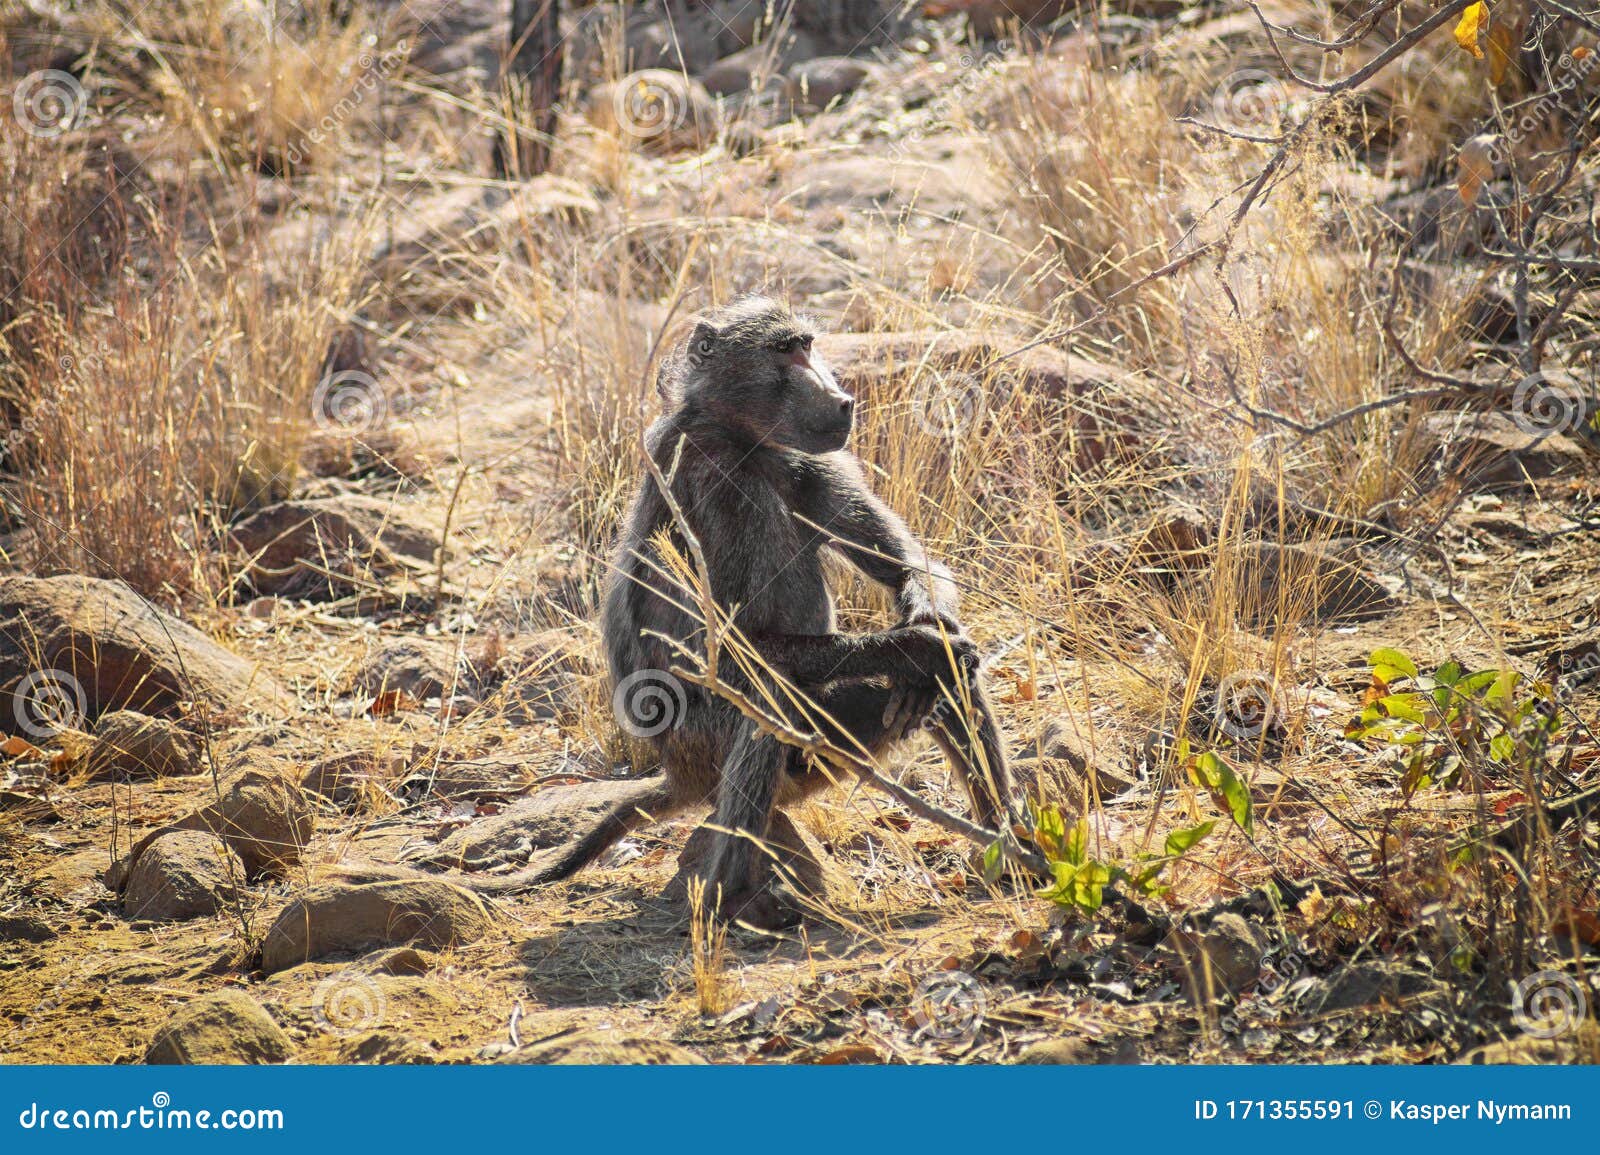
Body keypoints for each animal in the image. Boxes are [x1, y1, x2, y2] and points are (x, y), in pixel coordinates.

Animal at [331, 297, 1013, 928]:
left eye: (808, 346)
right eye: (786, 351)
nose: (842, 400)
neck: (735, 434)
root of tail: (674, 772)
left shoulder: (807, 460)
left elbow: (908, 571)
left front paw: (929, 641)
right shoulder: (712, 482)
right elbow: (744, 646)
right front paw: (922, 648)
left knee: (949, 687)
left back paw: (1009, 851)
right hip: (717, 748)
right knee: (769, 700)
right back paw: (731, 895)